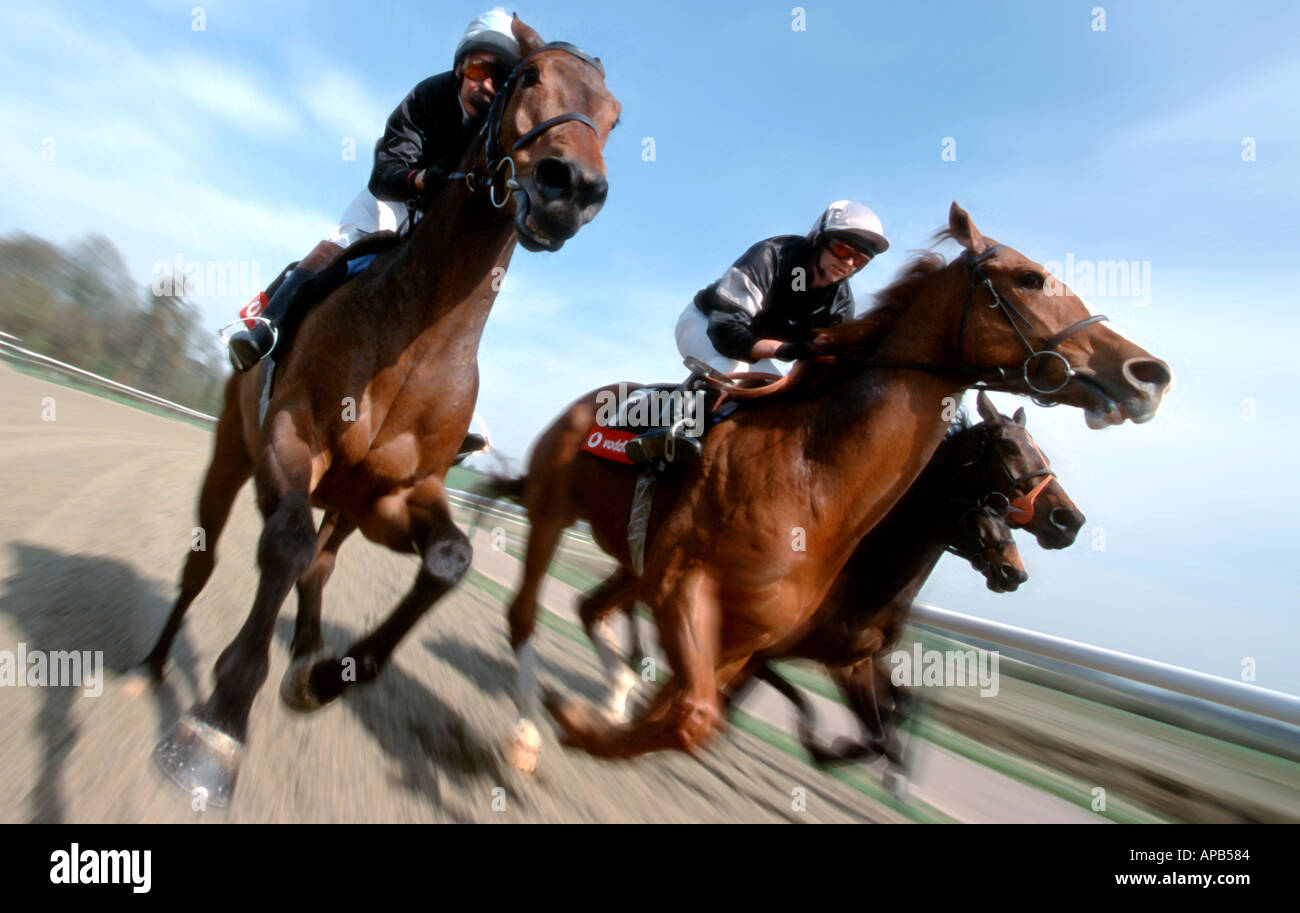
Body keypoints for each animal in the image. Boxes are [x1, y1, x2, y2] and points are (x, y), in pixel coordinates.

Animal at [124, 16, 621, 806]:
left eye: (614, 117)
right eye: (530, 77)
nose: (570, 189)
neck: (419, 338)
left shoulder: (396, 492)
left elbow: (449, 560)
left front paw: (325, 677)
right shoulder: (292, 437)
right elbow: (286, 542)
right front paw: (217, 726)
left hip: (350, 503)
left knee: (323, 565)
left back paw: (307, 653)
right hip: (232, 450)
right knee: (206, 563)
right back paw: (152, 666)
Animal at [496, 203, 1171, 771]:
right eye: (1029, 278)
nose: (1150, 373)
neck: (811, 480)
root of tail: (587, 401)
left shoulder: (750, 637)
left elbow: (690, 719)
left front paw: (597, 721)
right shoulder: (685, 587)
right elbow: (694, 715)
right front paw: (574, 720)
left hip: (630, 562)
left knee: (591, 610)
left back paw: (606, 696)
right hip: (553, 510)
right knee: (524, 613)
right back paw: (528, 728)